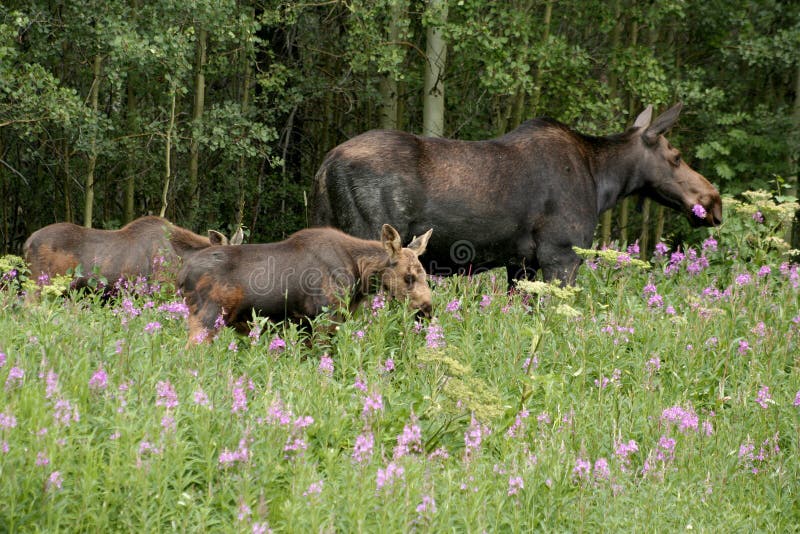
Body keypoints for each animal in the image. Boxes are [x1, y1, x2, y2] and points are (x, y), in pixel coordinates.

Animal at [177, 224, 432, 344]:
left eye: (425, 274)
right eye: (409, 276)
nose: (427, 310)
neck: (360, 274)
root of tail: (182, 274)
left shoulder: (307, 324)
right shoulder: (324, 317)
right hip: (207, 317)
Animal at [310, 103, 723, 286]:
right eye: (676, 156)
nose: (714, 201)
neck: (603, 183)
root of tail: (325, 165)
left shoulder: (521, 263)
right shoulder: (561, 255)